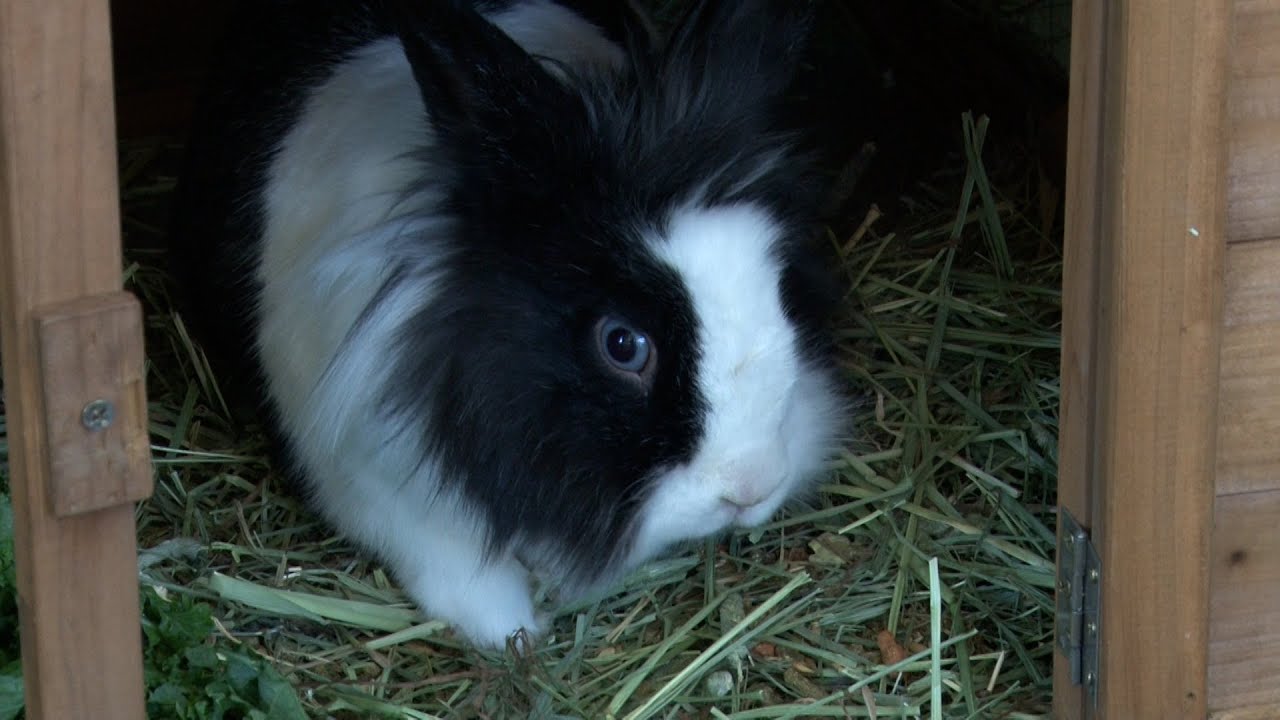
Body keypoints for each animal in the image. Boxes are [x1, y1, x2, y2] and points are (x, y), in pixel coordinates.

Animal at [168, 0, 845, 648]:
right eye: (623, 344)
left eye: (779, 291)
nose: (752, 487)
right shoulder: (377, 488)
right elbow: (462, 574)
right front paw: (511, 634)